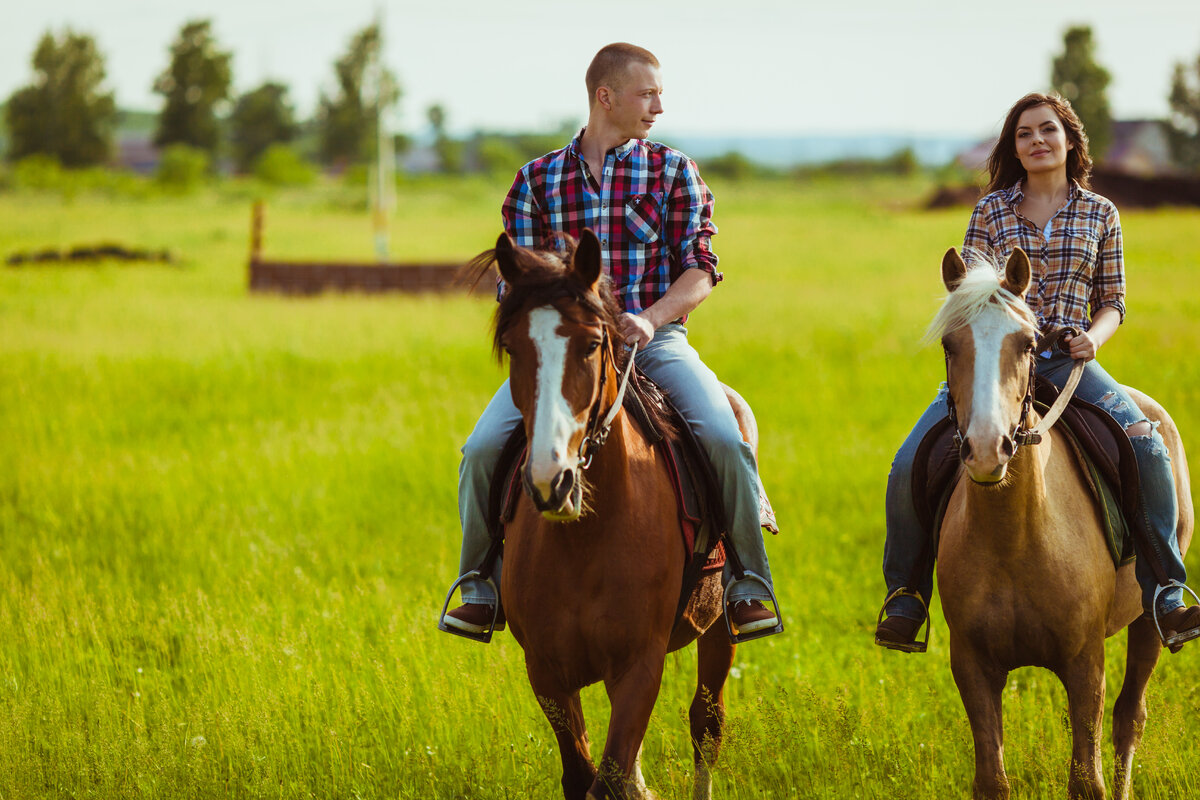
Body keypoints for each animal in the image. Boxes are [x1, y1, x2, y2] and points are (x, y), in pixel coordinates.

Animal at [472, 230, 753, 800]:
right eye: (513, 347)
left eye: (591, 344)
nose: (550, 481)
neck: (585, 540)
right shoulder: (546, 671)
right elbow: (584, 776)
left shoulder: (640, 666)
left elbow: (612, 777)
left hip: (719, 627)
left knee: (707, 724)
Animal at [931, 248, 1185, 800]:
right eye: (949, 343)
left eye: (1027, 344)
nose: (988, 449)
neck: (1015, 535)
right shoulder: (972, 666)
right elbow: (992, 780)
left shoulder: (1085, 663)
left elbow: (1087, 780)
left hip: (1149, 620)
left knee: (1130, 717)